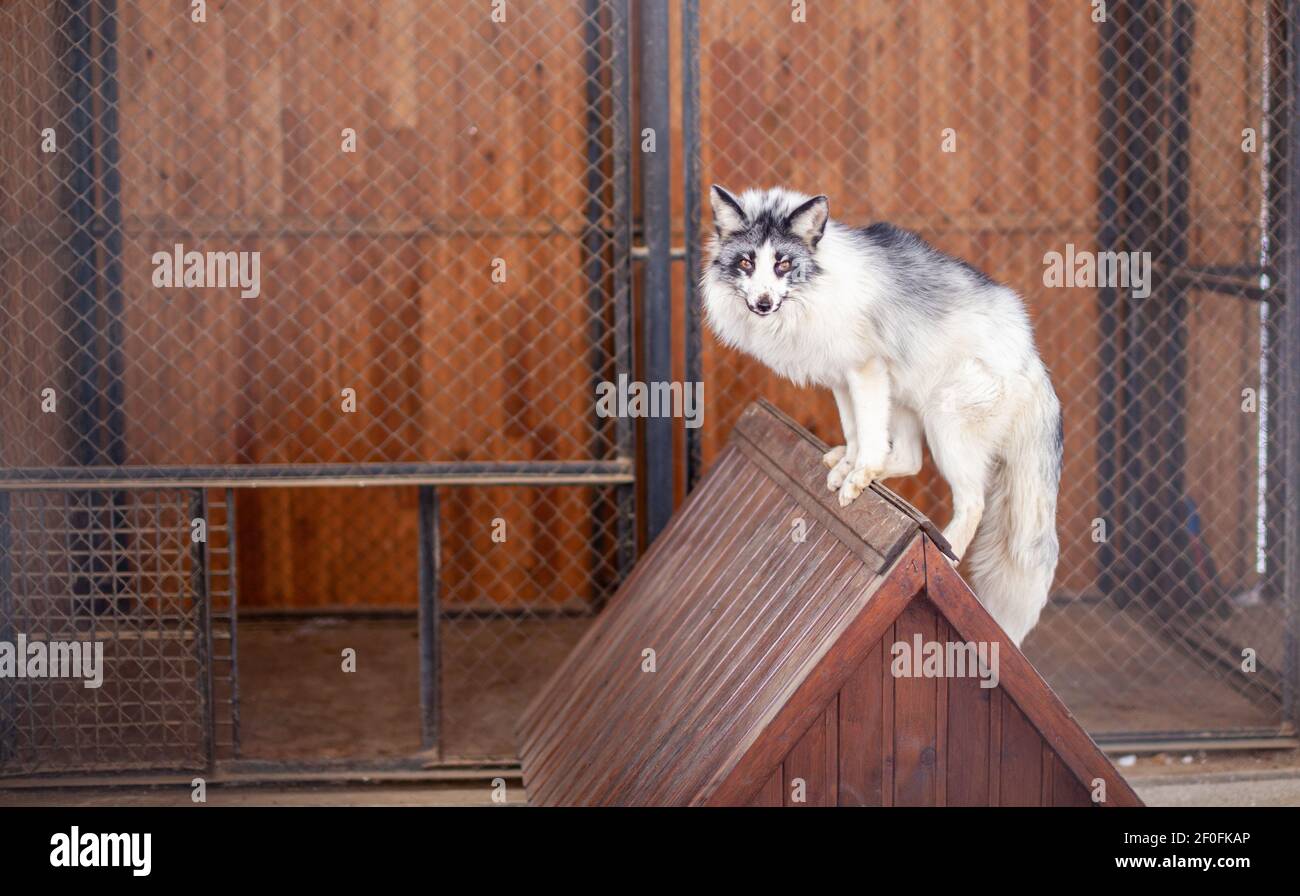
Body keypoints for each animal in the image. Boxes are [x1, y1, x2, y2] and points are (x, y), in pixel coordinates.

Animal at [701, 185, 1062, 646]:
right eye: (746, 262)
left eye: (783, 264)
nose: (763, 303)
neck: (817, 289)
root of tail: (1032, 361)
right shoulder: (841, 377)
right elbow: (856, 431)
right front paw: (851, 469)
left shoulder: (865, 367)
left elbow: (870, 437)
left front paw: (858, 476)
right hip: (905, 399)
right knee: (910, 460)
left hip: (945, 421)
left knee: (972, 501)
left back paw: (948, 556)